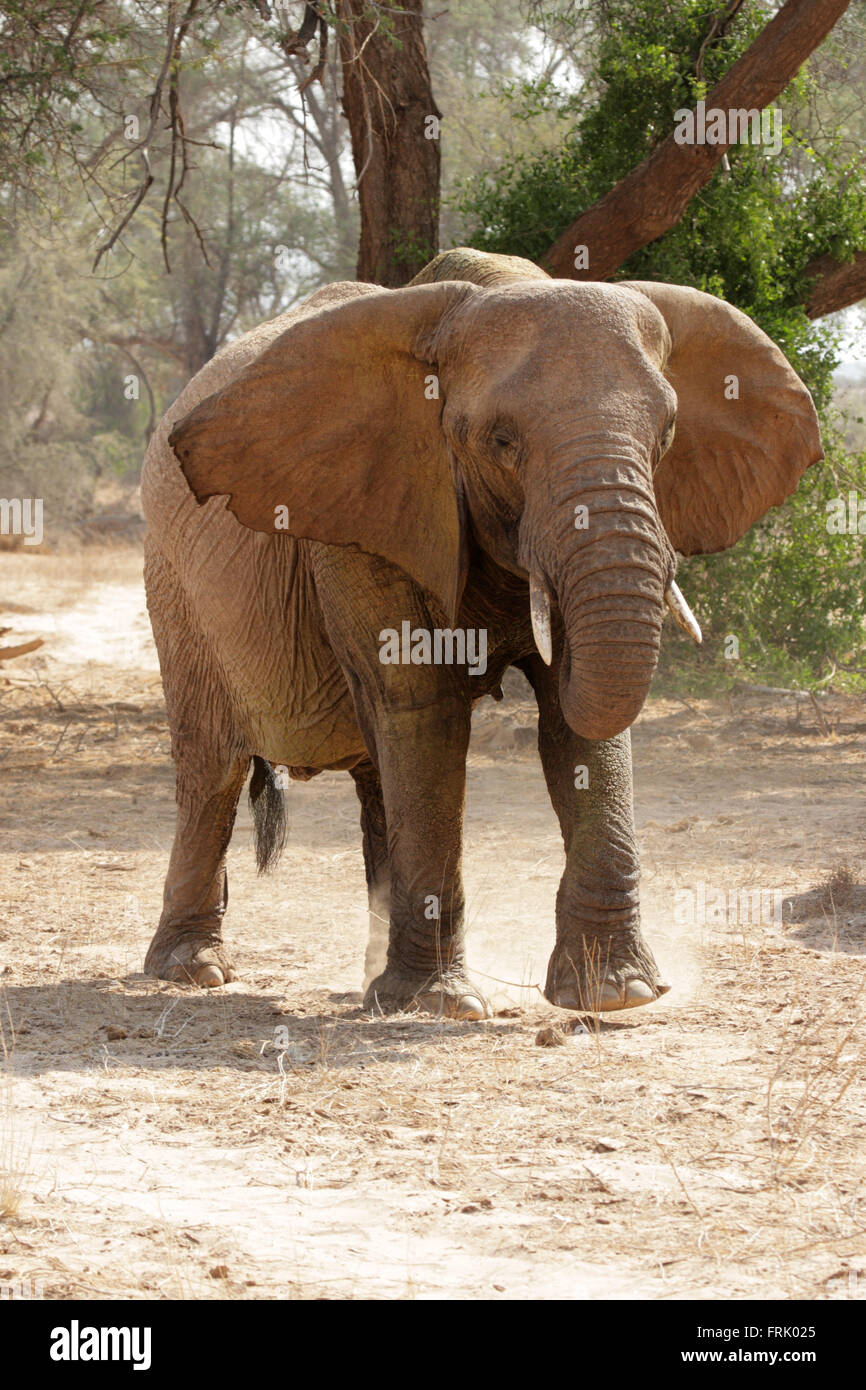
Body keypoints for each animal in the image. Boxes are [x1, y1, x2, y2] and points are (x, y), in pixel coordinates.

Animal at [140, 247, 821, 1020]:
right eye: (501, 441)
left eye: (667, 435)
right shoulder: (367, 514)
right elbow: (422, 711)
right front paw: (443, 1006)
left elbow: (573, 725)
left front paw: (616, 994)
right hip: (174, 586)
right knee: (214, 771)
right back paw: (194, 970)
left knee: (376, 778)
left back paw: (369, 985)